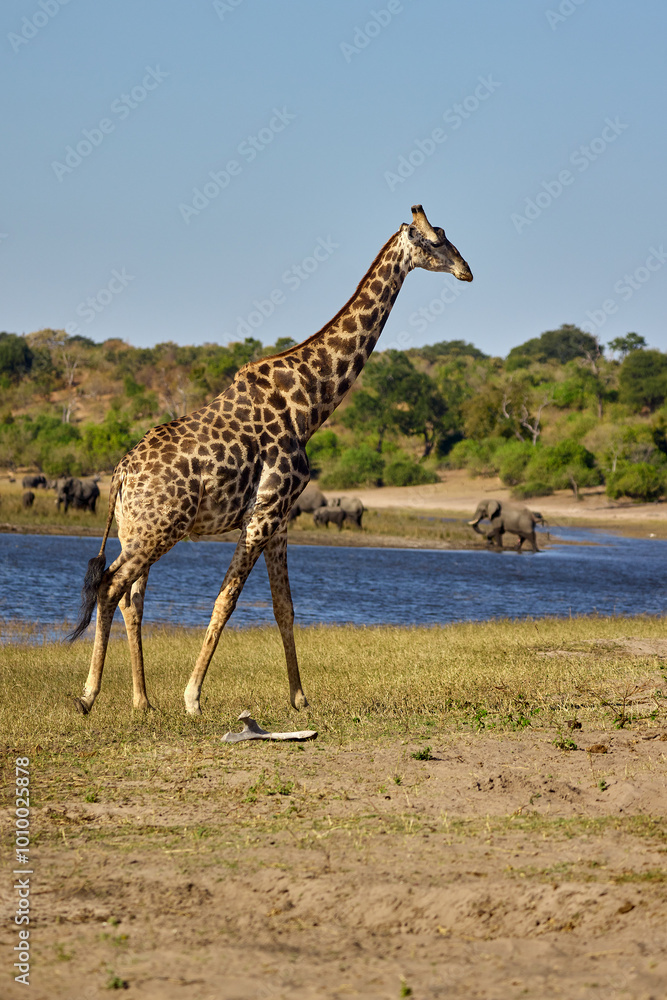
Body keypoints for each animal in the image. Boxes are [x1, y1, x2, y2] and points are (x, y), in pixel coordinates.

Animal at [68, 205, 472, 716]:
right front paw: (193, 697)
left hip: (137, 529)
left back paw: (143, 701)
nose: (466, 270)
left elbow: (285, 607)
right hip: (160, 529)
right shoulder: (263, 512)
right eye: (435, 240)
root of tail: (119, 476)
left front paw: (300, 699)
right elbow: (226, 600)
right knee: (111, 587)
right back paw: (89, 695)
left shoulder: (280, 517)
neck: (310, 404)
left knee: (131, 597)